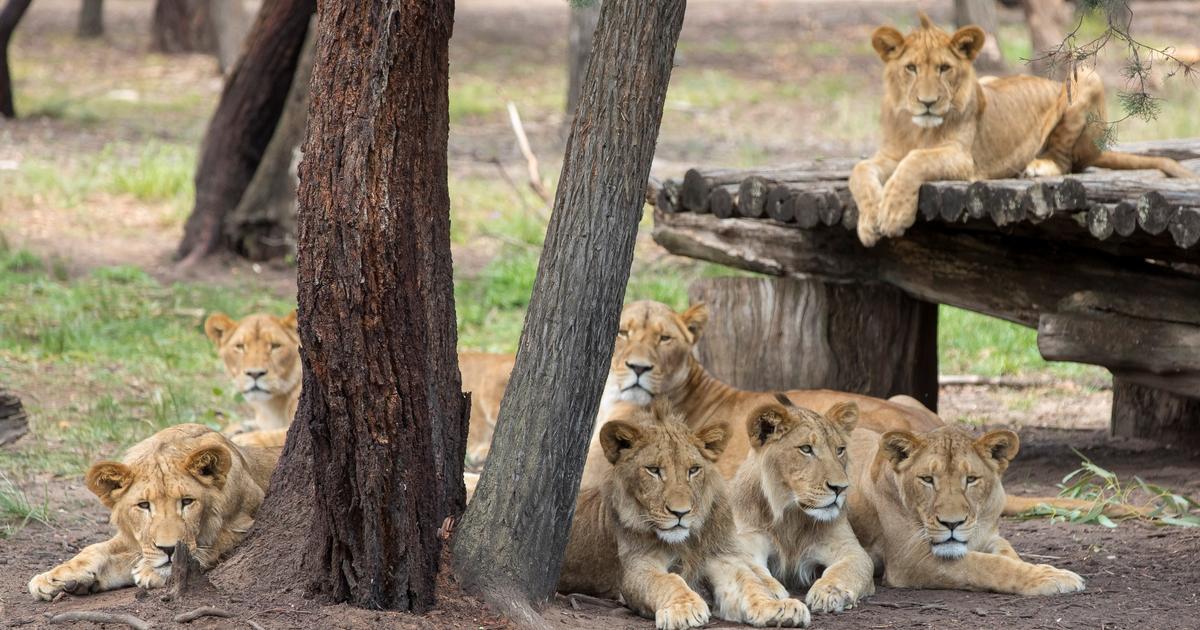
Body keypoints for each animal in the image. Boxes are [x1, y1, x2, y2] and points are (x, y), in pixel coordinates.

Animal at [28, 424, 280, 600]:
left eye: (187, 502)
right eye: (144, 505)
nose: (168, 549)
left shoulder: (247, 521)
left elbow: (213, 544)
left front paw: (152, 572)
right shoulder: (135, 539)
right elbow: (95, 549)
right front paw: (54, 577)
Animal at [559, 402, 811, 629]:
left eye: (693, 470)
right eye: (653, 470)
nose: (680, 513)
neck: (686, 542)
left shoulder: (722, 558)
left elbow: (749, 583)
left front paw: (776, 608)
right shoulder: (637, 564)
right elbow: (668, 580)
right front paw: (684, 609)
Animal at [731, 396, 875, 613]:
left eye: (840, 450)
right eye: (806, 449)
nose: (841, 488)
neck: (791, 514)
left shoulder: (849, 548)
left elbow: (847, 569)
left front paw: (831, 592)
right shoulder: (746, 541)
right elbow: (752, 569)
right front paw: (769, 589)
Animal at [844, 425, 1086, 595]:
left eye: (971, 479)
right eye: (927, 479)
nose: (952, 524)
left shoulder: (989, 536)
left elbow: (1009, 555)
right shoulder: (909, 558)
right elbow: (990, 565)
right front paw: (1051, 577)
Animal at [850, 12, 1195, 247]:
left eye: (944, 68)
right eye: (910, 68)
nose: (927, 103)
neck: (917, 129)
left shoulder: (964, 159)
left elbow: (915, 161)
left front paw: (893, 215)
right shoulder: (889, 154)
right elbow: (860, 170)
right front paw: (869, 221)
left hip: (1086, 76)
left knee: (1066, 162)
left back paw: (1037, 166)